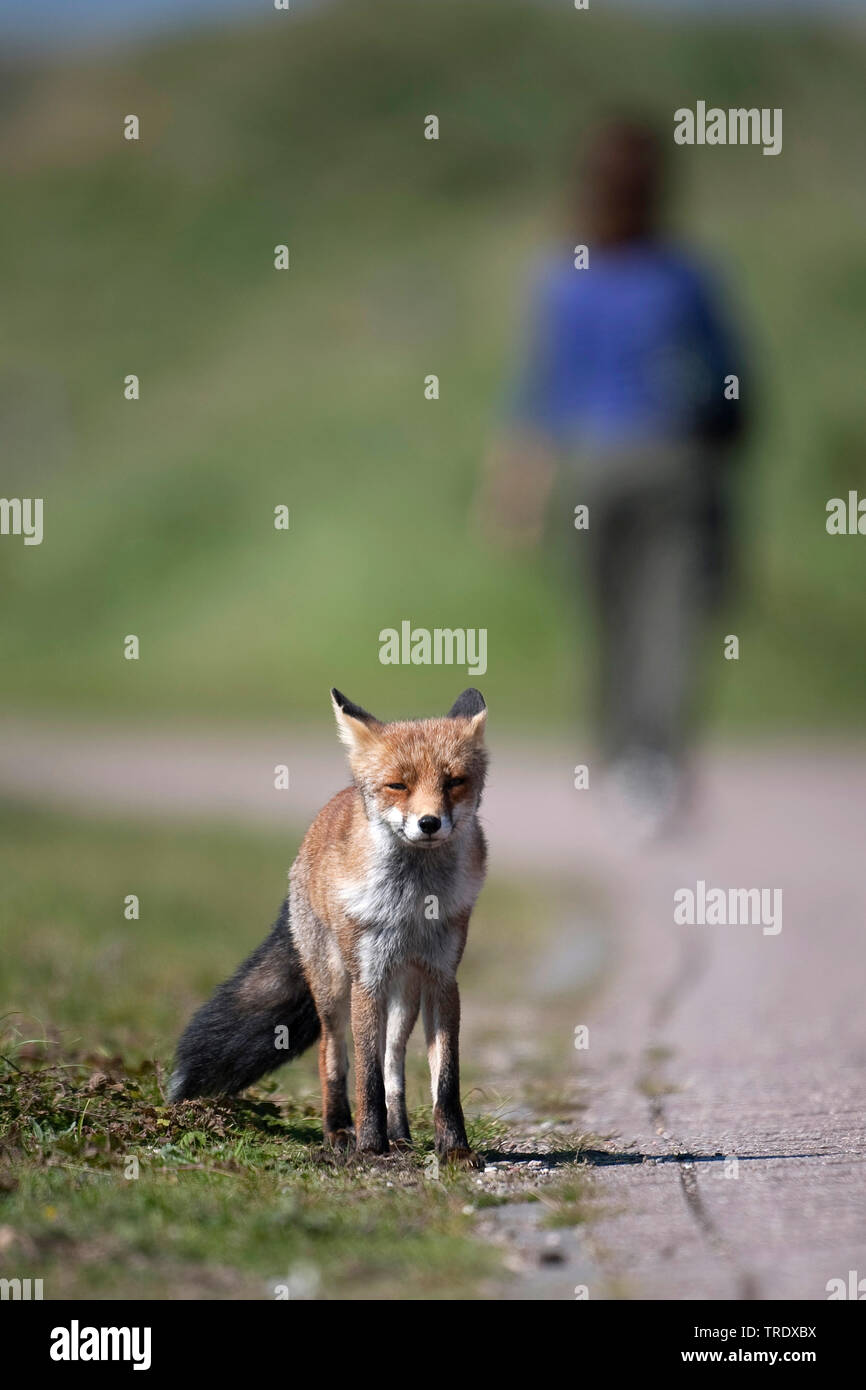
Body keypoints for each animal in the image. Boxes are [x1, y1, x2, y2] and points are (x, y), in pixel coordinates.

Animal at [169, 687, 488, 1167]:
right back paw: (340, 1132)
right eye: (398, 785)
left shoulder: (442, 979)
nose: (429, 823)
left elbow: (443, 1080)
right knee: (333, 1056)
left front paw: (453, 1149)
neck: (413, 903)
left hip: (404, 995)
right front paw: (369, 1146)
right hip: (335, 986)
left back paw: (400, 1137)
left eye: (453, 782)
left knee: (393, 1062)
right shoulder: (366, 979)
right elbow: (366, 1077)